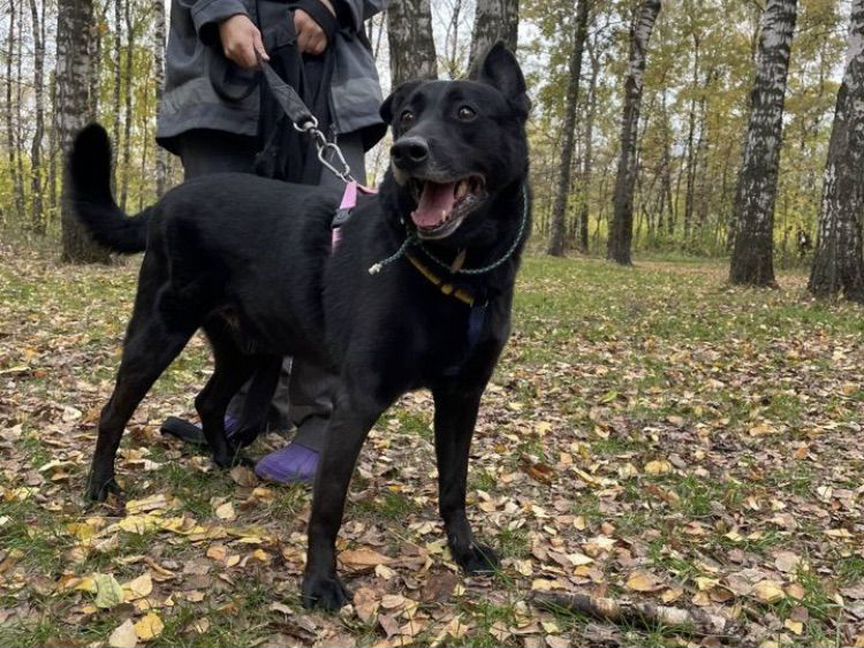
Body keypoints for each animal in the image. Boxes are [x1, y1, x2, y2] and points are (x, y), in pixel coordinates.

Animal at [71, 43, 528, 612]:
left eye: (466, 113)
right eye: (405, 117)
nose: (408, 153)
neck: (455, 271)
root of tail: (166, 201)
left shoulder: (462, 398)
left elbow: (454, 485)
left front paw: (464, 551)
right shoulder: (357, 402)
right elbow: (328, 505)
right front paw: (320, 582)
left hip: (250, 349)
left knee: (209, 401)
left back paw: (225, 459)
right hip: (160, 333)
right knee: (114, 410)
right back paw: (100, 485)